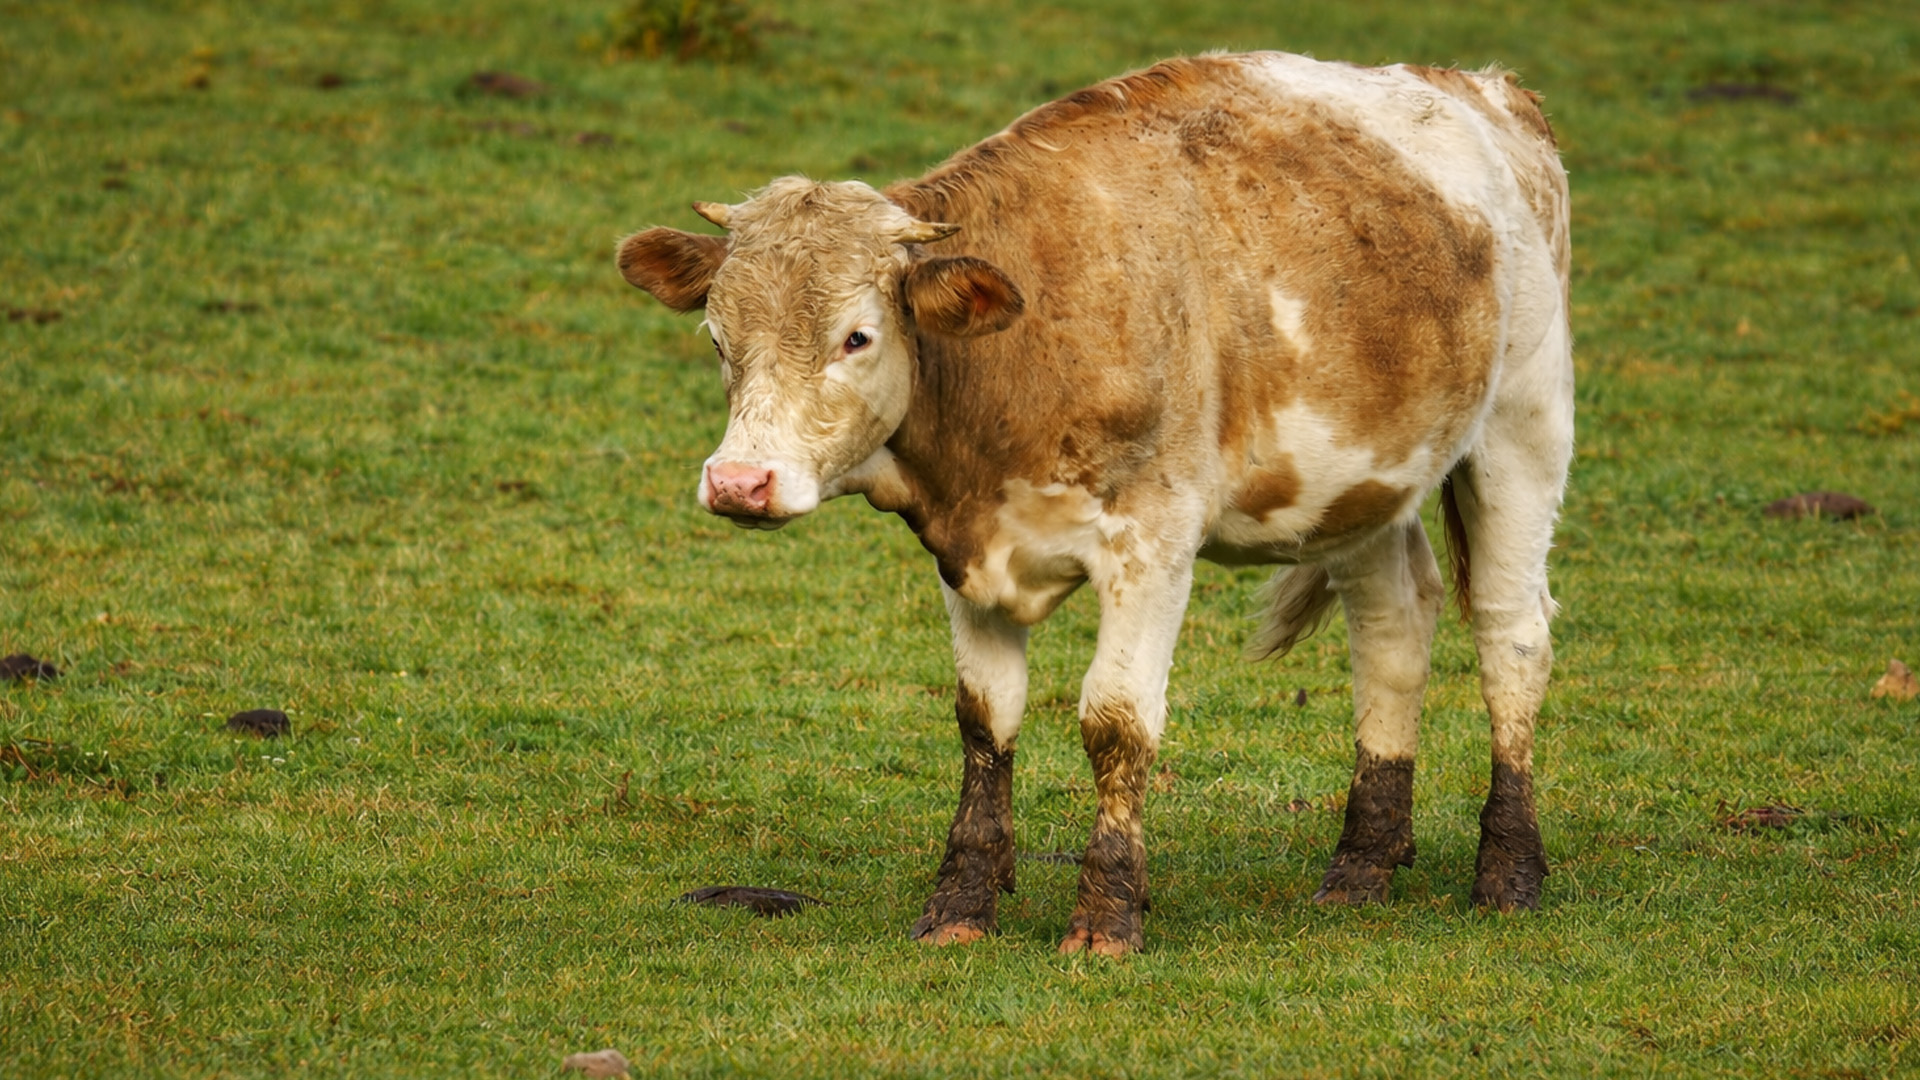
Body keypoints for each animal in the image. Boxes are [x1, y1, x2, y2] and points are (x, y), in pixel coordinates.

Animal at [617, 51, 1572, 957]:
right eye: (718, 338)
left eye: (857, 336)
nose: (740, 482)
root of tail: (1485, 89)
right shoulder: (967, 554)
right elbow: (984, 719)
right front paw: (959, 907)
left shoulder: (1153, 543)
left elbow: (1117, 722)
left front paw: (1107, 919)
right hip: (1364, 479)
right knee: (1392, 626)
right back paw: (1361, 867)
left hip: (1523, 422)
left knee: (1510, 630)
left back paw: (1510, 874)